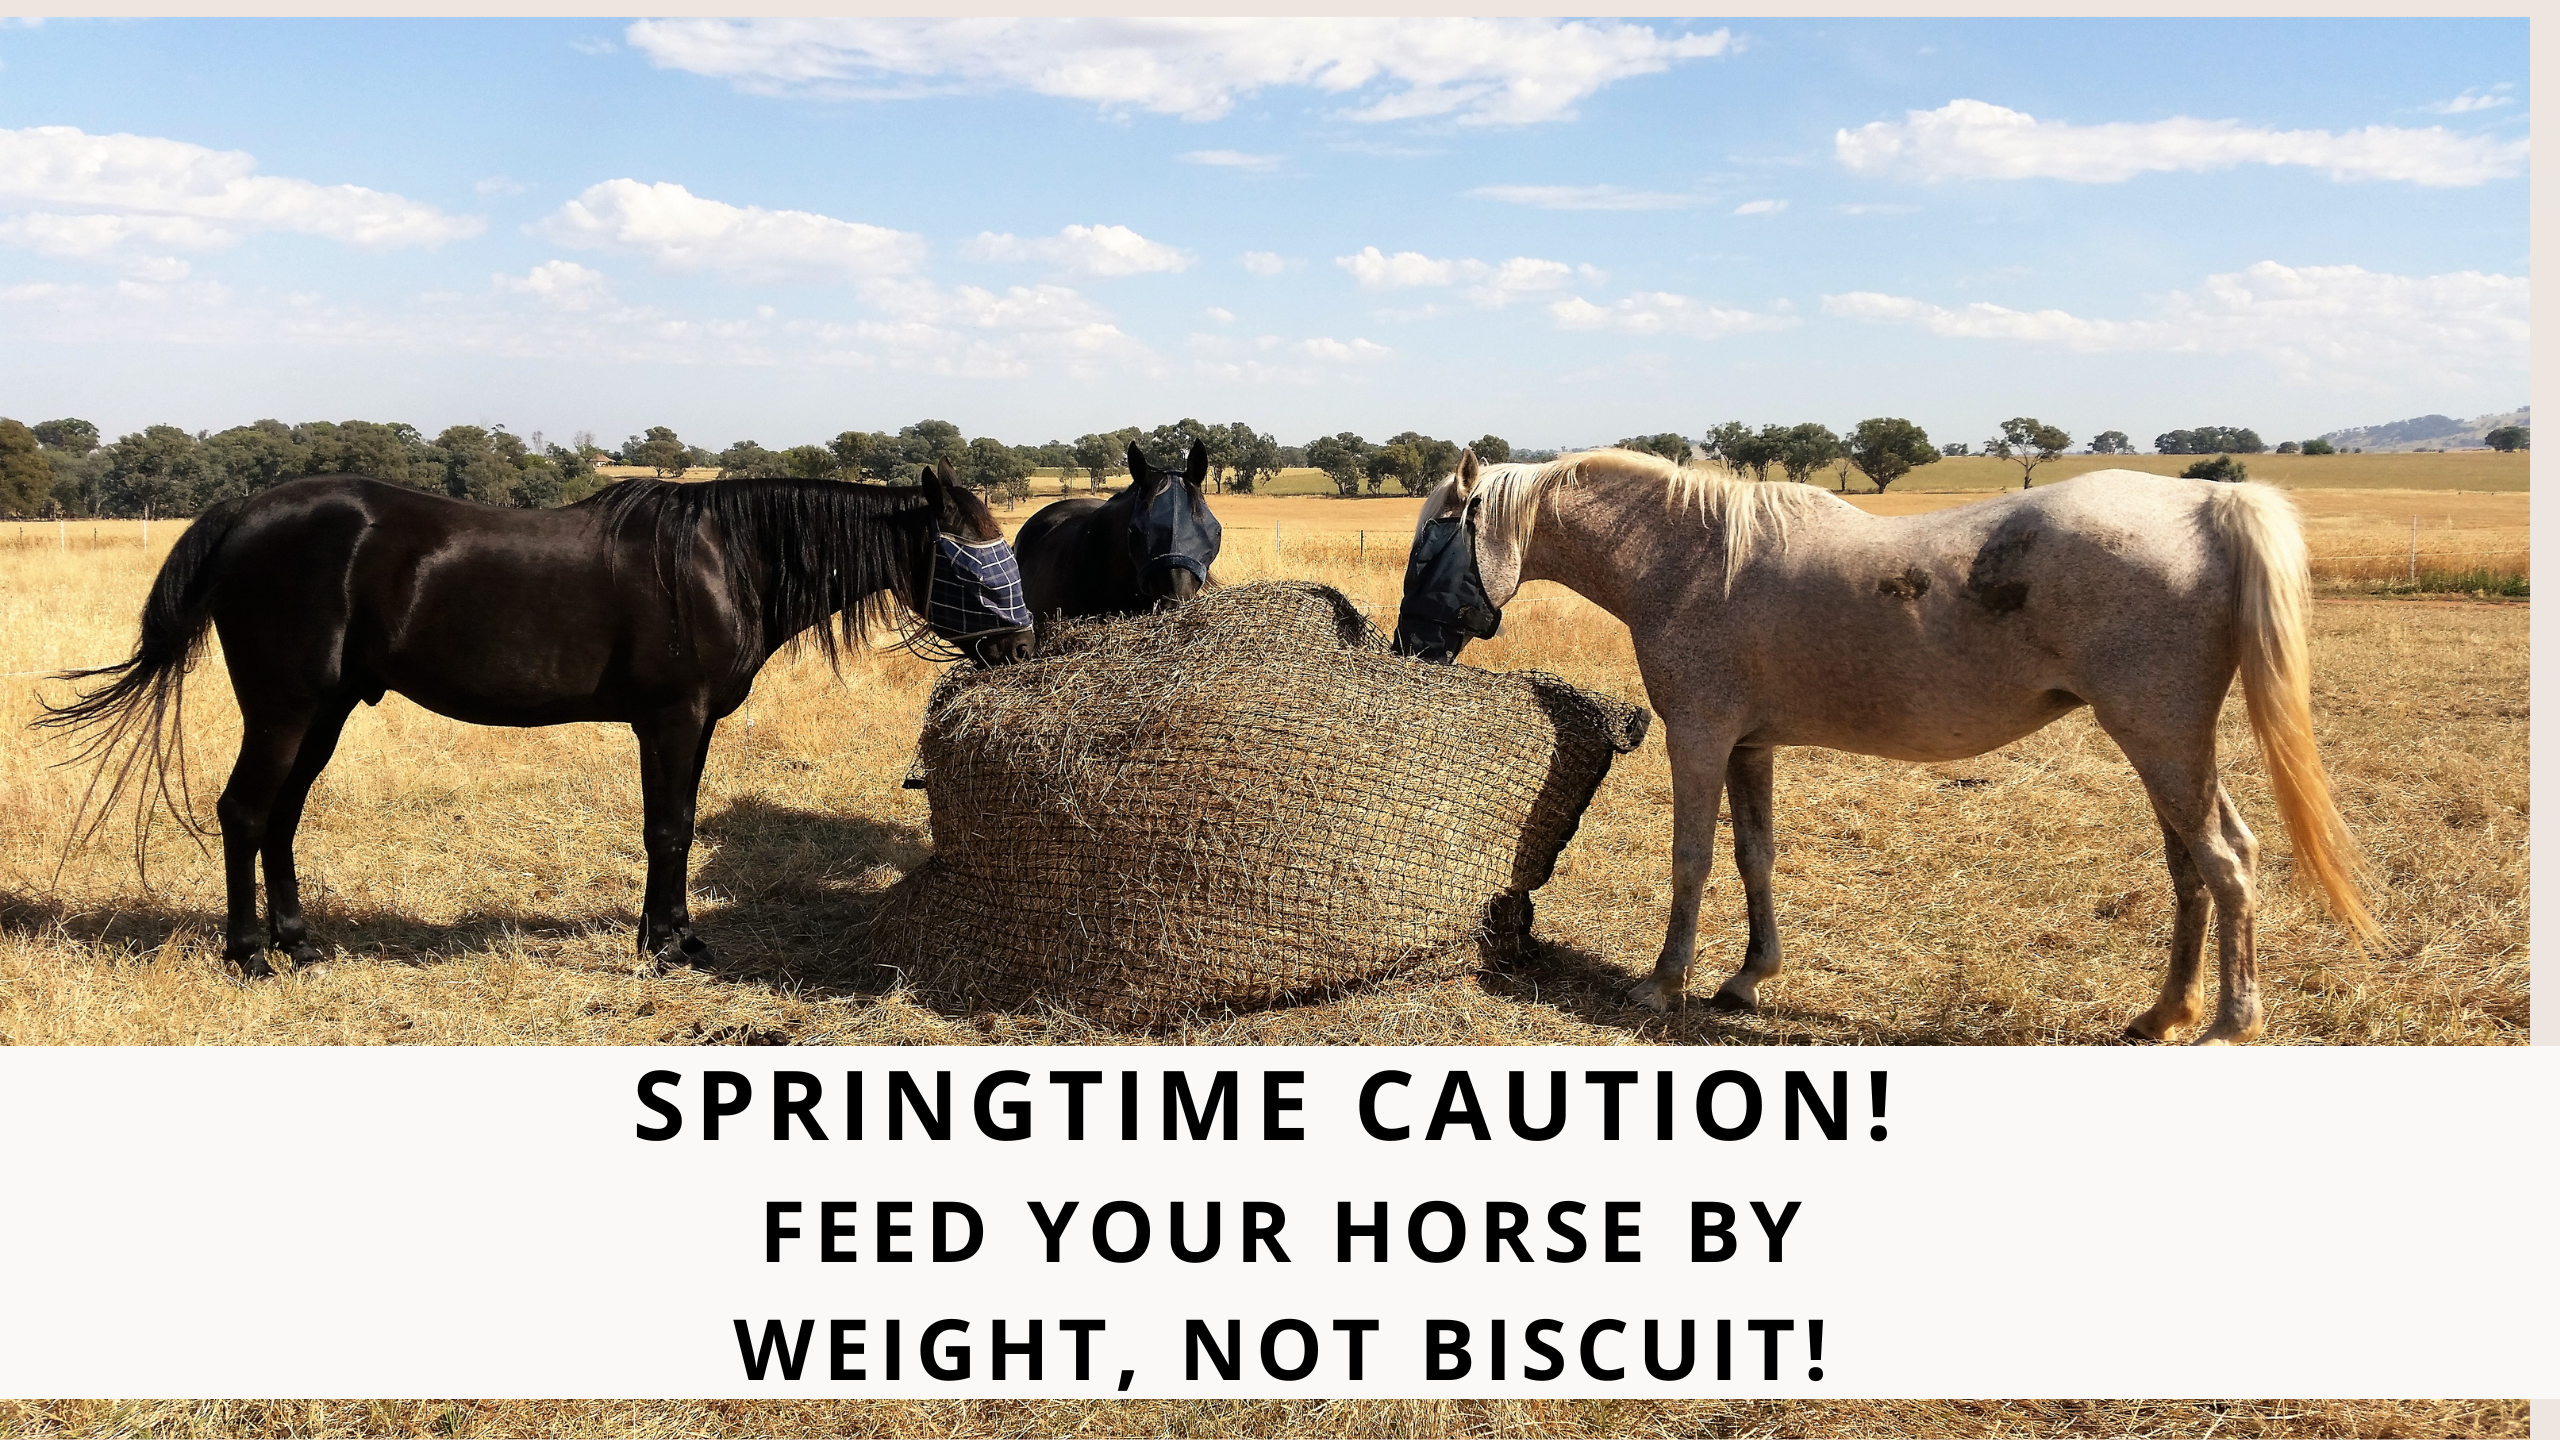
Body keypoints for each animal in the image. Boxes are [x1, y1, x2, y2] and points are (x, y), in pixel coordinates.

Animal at [37, 458, 1033, 979]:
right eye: (972, 558)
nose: (1024, 647)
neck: (723, 558)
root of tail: (245, 510)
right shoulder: (669, 720)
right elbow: (667, 828)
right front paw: (662, 945)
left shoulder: (696, 726)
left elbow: (680, 825)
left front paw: (678, 935)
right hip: (284, 707)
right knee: (244, 813)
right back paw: (248, 954)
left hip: (324, 712)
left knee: (279, 818)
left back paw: (299, 943)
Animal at [1399, 446, 2380, 1045]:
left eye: (1427, 552)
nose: (1408, 645)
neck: (1690, 558)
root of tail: (2208, 503)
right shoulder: (1751, 746)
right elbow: (1756, 858)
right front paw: (1747, 980)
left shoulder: (1702, 739)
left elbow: (1692, 860)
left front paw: (1664, 983)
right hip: (2167, 749)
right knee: (2193, 871)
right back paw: (2164, 1012)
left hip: (2161, 739)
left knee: (2227, 863)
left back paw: (2228, 1024)